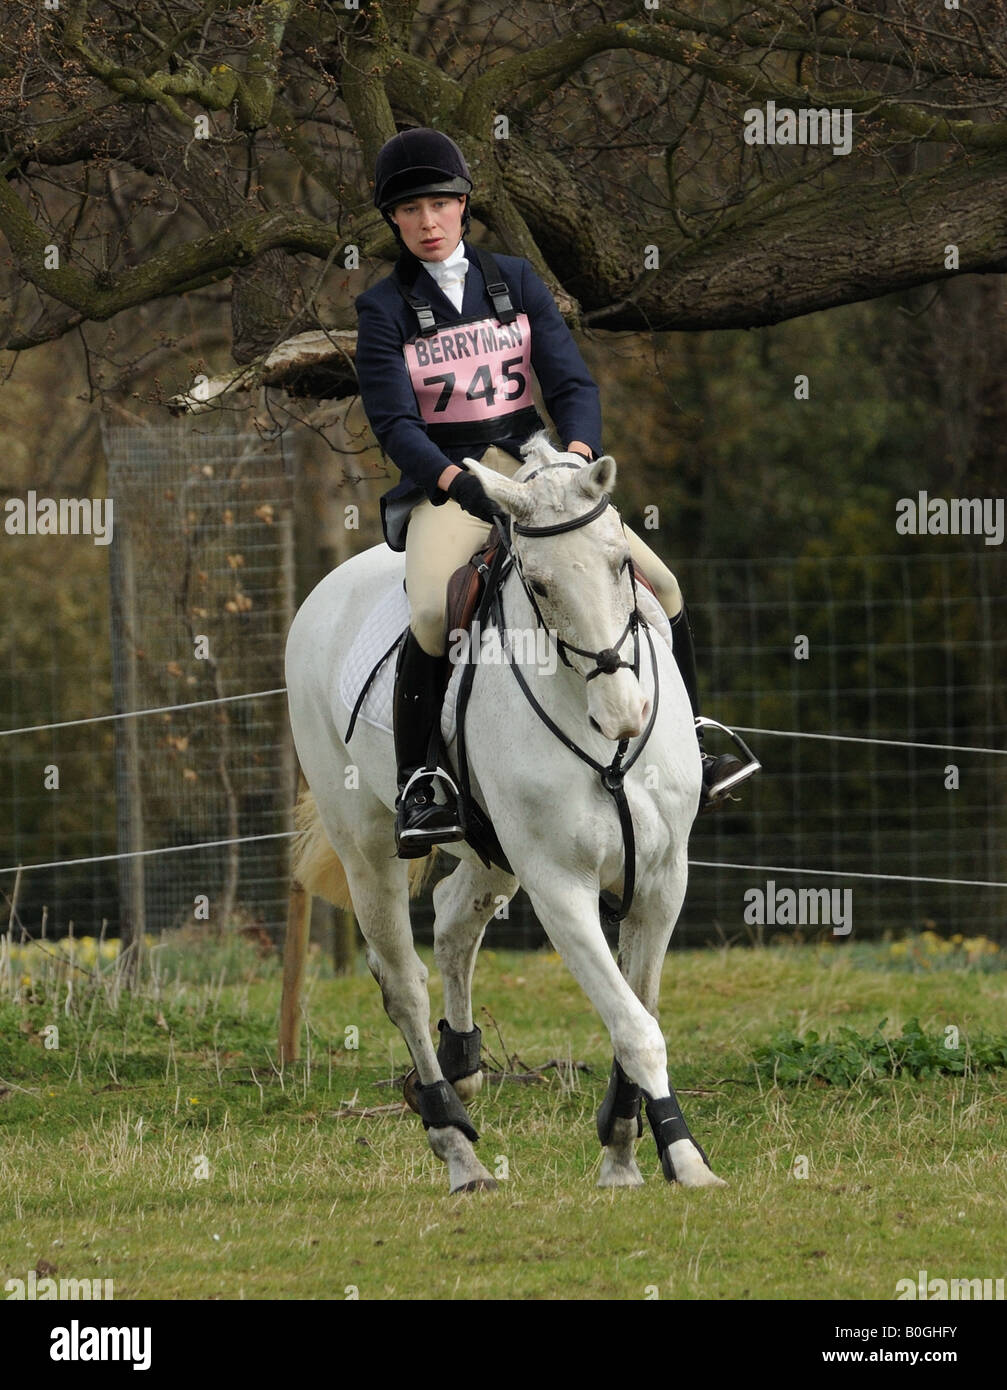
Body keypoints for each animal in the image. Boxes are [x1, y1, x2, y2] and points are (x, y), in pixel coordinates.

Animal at [281, 431, 726, 1193]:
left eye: (620, 564)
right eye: (540, 586)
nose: (625, 715)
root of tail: (327, 590)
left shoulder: (664, 877)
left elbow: (636, 1009)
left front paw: (623, 1153)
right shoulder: (559, 886)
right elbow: (637, 1029)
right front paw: (685, 1156)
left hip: (493, 855)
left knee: (455, 917)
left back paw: (462, 1062)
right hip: (366, 848)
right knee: (403, 981)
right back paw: (457, 1148)